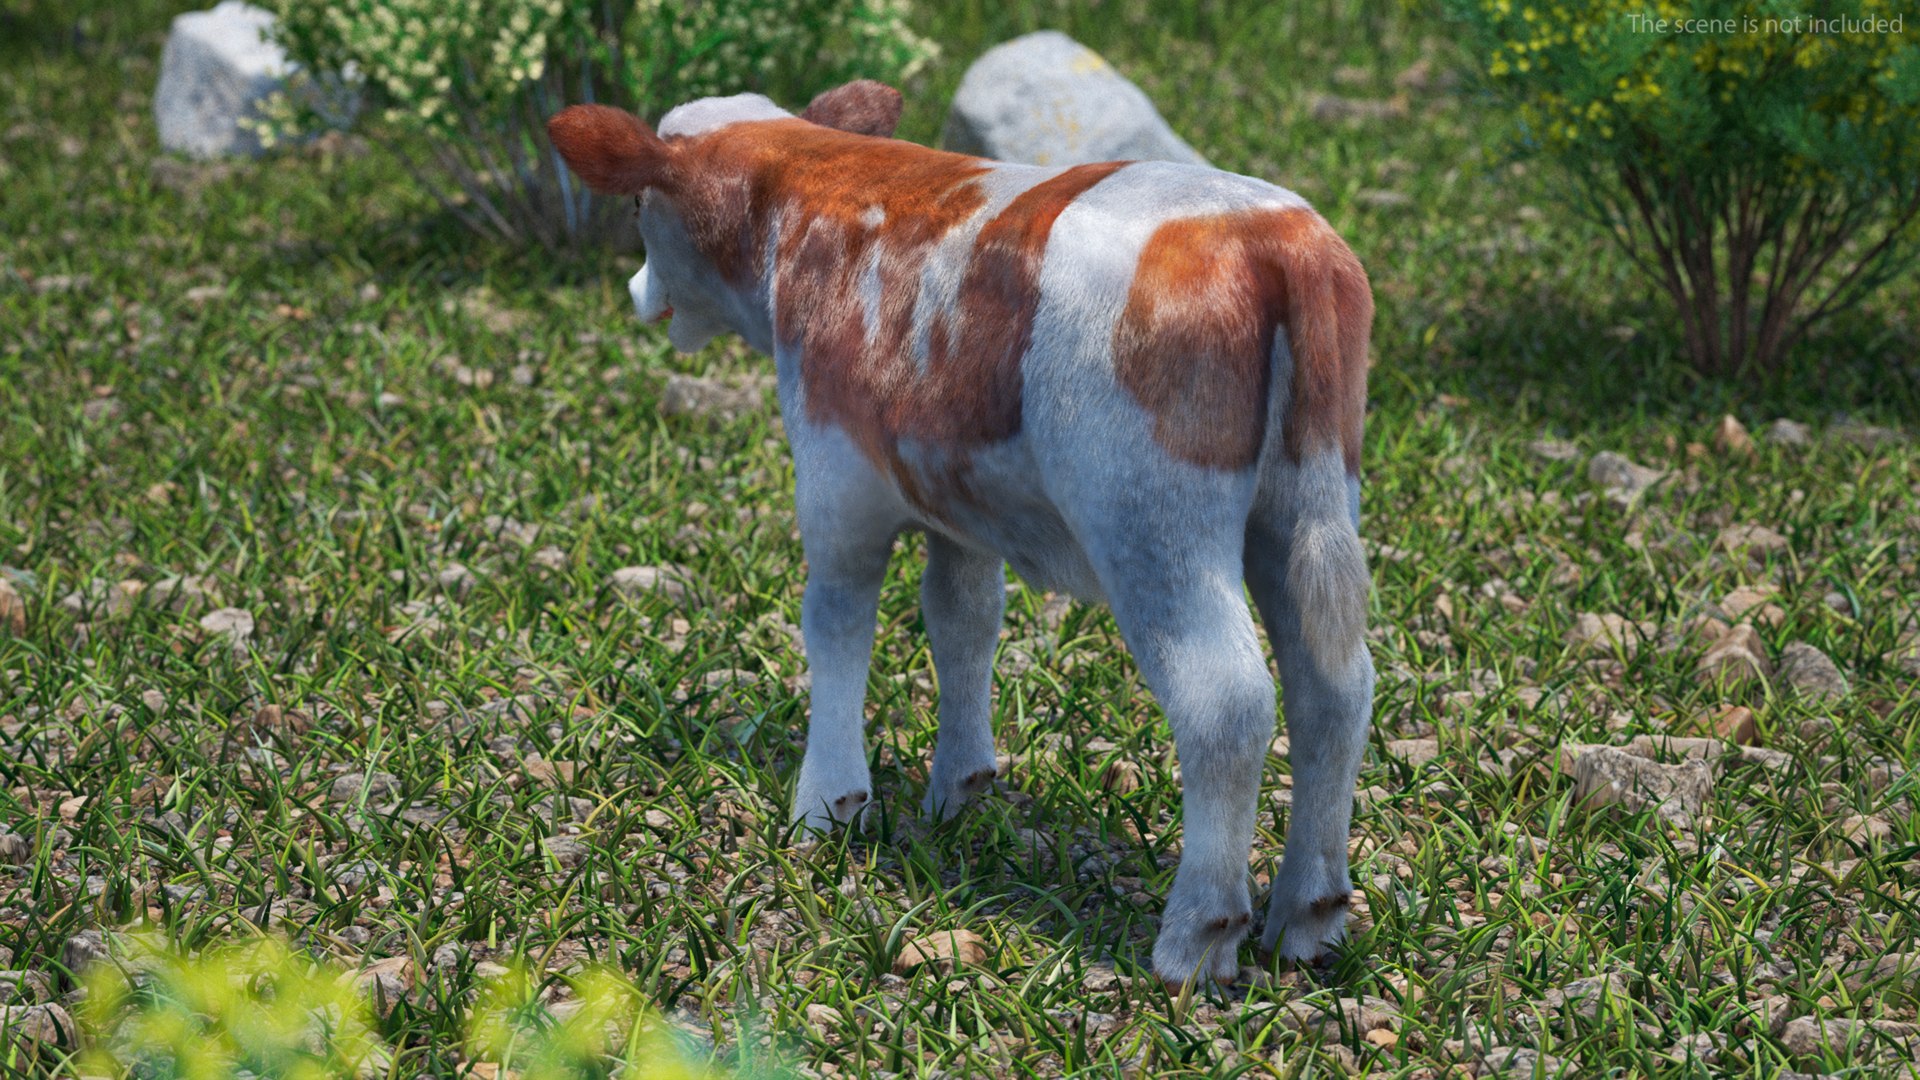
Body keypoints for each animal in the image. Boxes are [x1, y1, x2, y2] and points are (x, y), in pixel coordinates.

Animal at [547, 79, 1375, 988]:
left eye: (638, 204)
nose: (635, 290)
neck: (806, 192)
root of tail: (1269, 235)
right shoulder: (957, 506)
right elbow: (963, 623)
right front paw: (959, 792)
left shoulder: (836, 483)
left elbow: (836, 628)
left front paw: (826, 806)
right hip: (1306, 506)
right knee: (1333, 689)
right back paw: (1309, 916)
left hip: (1153, 522)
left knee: (1226, 701)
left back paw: (1197, 938)